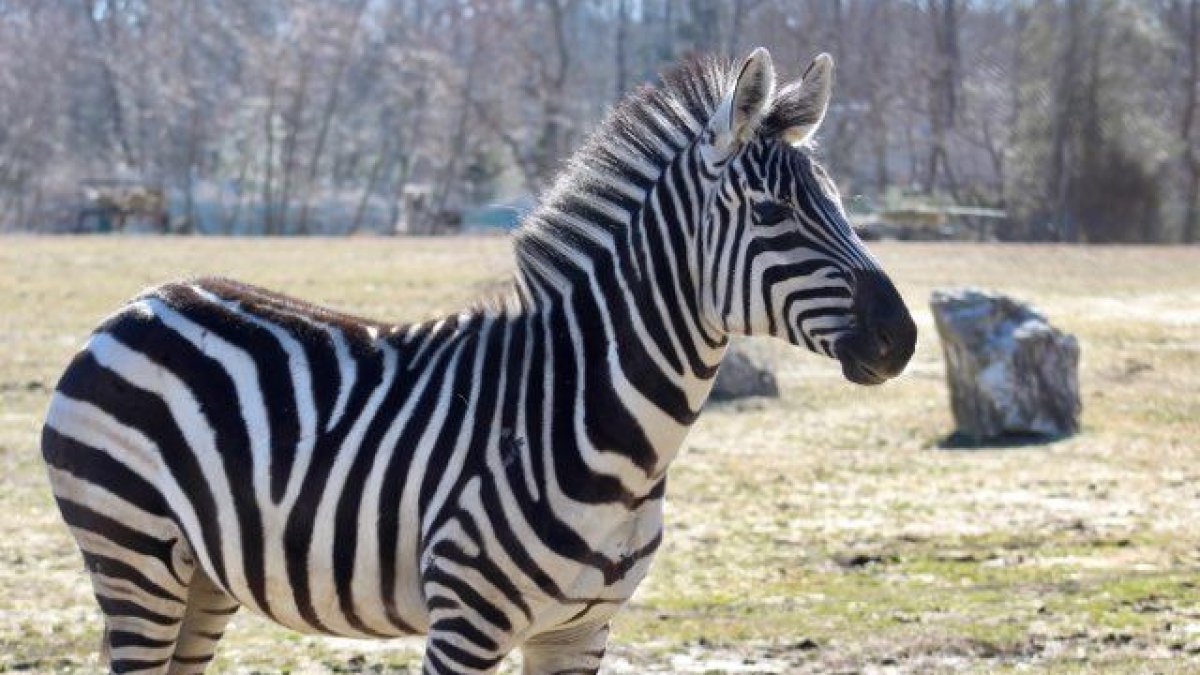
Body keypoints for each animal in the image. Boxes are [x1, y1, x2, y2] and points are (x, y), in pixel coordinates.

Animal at [41, 48, 916, 674]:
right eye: (771, 212)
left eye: (839, 201)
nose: (902, 337)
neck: (593, 417)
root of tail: (140, 301)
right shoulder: (466, 620)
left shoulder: (580, 631)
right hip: (132, 554)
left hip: (201, 575)